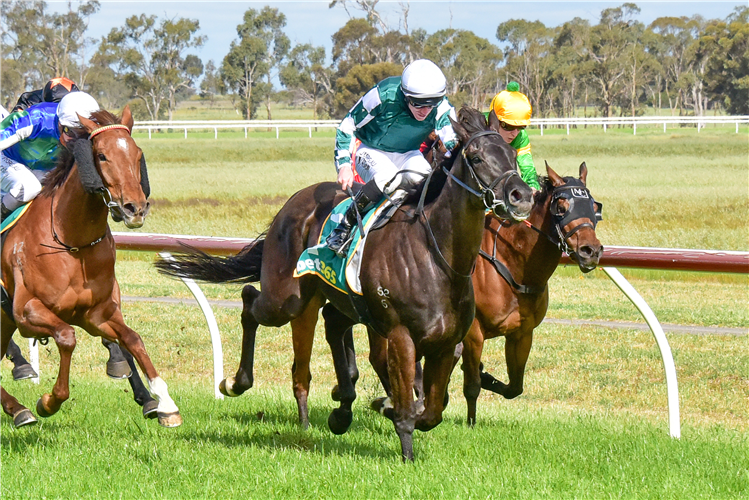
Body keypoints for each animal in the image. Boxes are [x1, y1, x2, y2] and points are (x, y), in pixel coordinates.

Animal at [0, 106, 181, 429]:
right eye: (102, 156)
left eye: (137, 154)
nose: (135, 208)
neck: (72, 241)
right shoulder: (25, 311)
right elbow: (67, 337)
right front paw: (49, 401)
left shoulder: (97, 313)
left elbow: (133, 339)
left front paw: (164, 403)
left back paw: (17, 408)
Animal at [155, 106, 533, 461]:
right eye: (477, 157)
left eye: (512, 155)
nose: (521, 195)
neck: (438, 256)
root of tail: (293, 201)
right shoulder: (400, 336)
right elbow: (410, 409)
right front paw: (405, 450)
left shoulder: (447, 342)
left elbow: (433, 412)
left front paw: (383, 408)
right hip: (286, 297)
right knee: (251, 299)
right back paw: (236, 382)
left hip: (346, 303)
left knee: (332, 322)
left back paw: (341, 410)